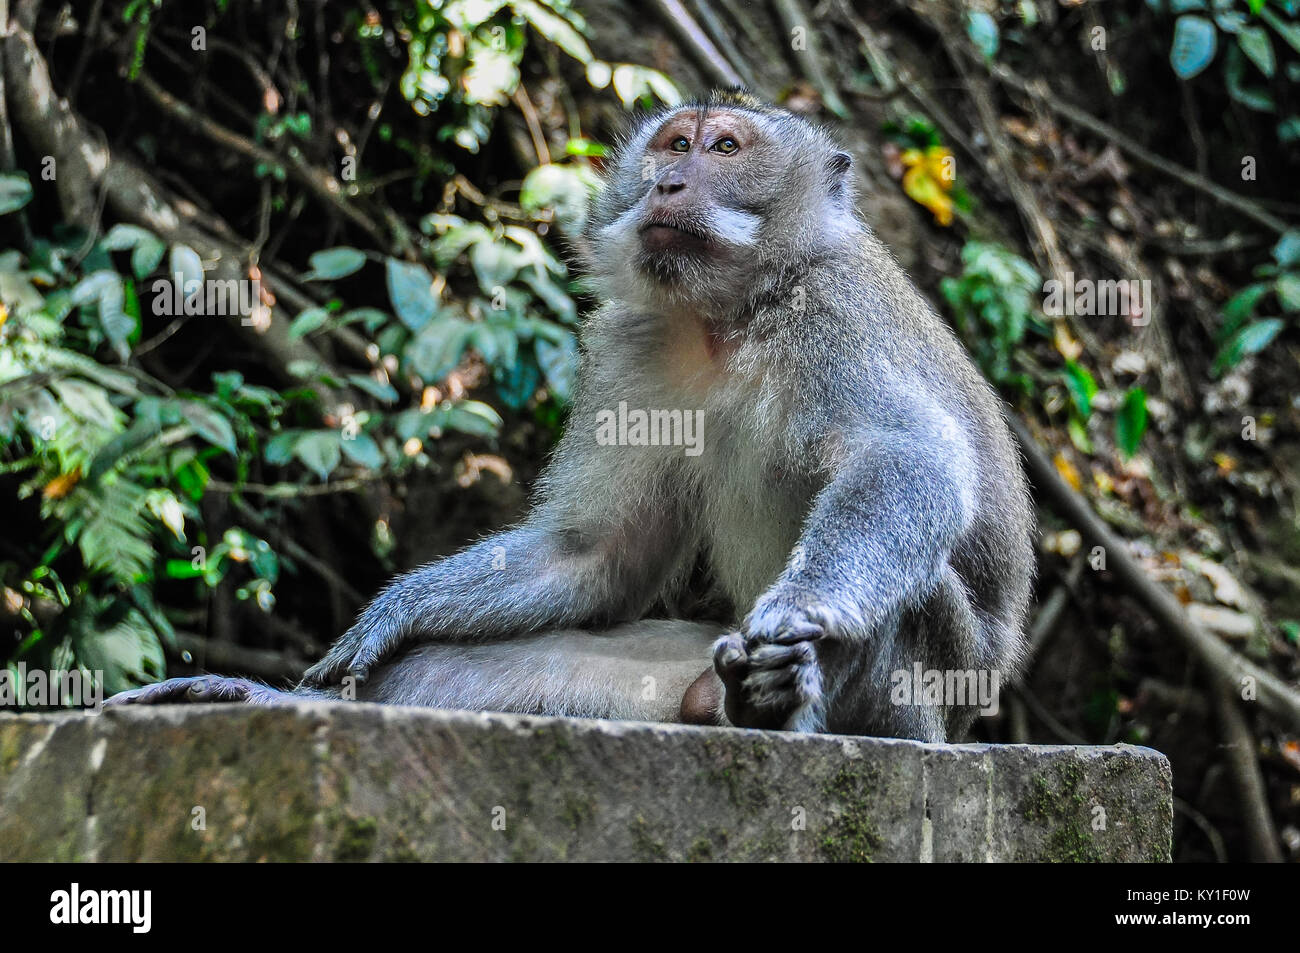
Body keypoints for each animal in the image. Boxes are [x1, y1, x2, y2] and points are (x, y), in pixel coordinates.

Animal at [108, 90, 1036, 742]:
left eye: (725, 149)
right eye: (675, 144)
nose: (668, 182)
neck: (726, 316)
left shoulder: (834, 311)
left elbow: (905, 458)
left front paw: (805, 610)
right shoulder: (632, 345)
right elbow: (597, 551)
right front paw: (390, 615)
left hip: (922, 696)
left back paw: (777, 695)